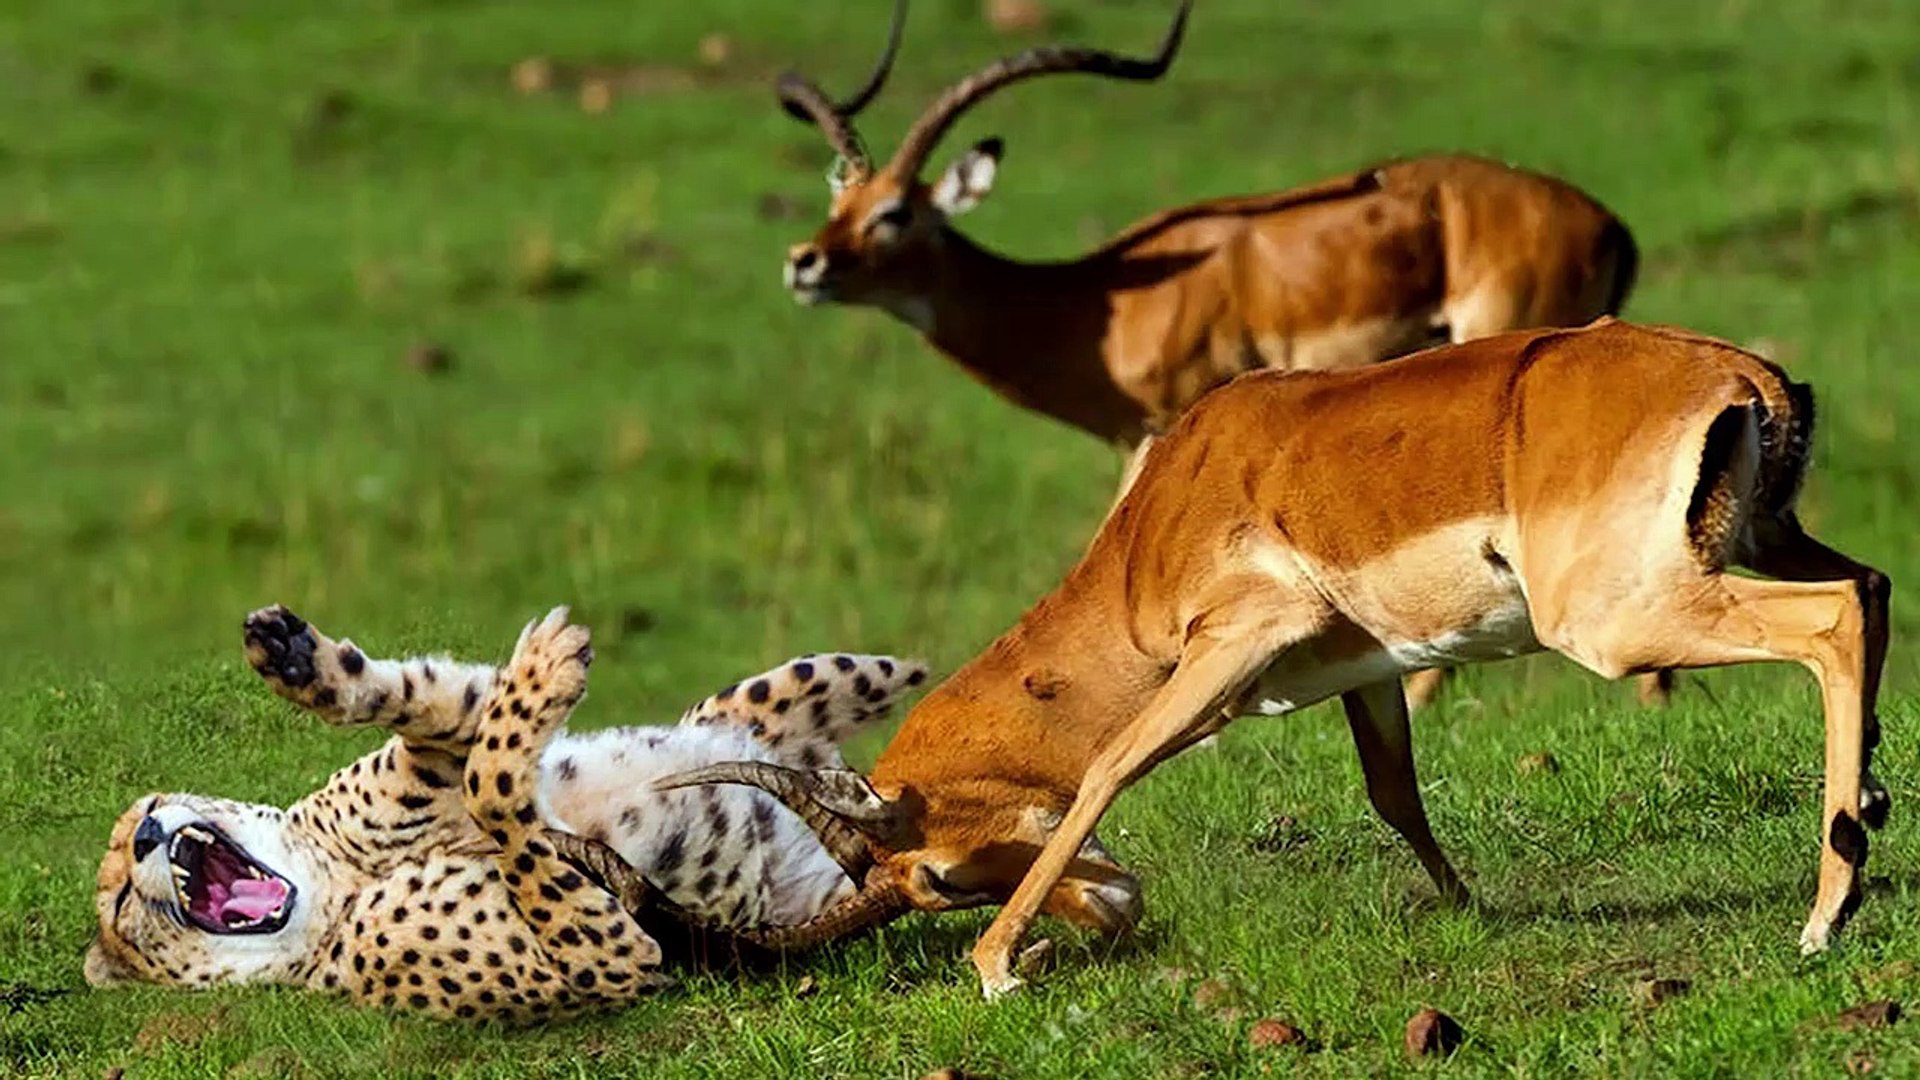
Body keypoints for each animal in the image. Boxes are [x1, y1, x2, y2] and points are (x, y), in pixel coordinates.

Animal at [86, 604, 926, 1022]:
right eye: (123, 901)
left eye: (149, 811)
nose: (151, 834)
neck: (328, 890)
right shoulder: (616, 954)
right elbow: (497, 795)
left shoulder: (439, 742)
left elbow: (447, 714)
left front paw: (298, 658)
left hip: (787, 699)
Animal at [646, 319, 1890, 998]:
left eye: (939, 880)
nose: (1110, 915)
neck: (1151, 533)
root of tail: (1738, 377)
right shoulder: (1371, 670)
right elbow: (1393, 792)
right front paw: (1471, 910)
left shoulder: (1231, 648)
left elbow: (1107, 766)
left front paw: (995, 967)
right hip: (1751, 544)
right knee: (1871, 589)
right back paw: (1868, 812)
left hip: (1617, 619)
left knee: (1831, 620)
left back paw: (1826, 913)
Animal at [776, 0, 1657, 709]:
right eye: (839, 199)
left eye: (894, 212)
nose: (804, 262)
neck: (1097, 303)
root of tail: (1606, 220)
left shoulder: (1164, 430)